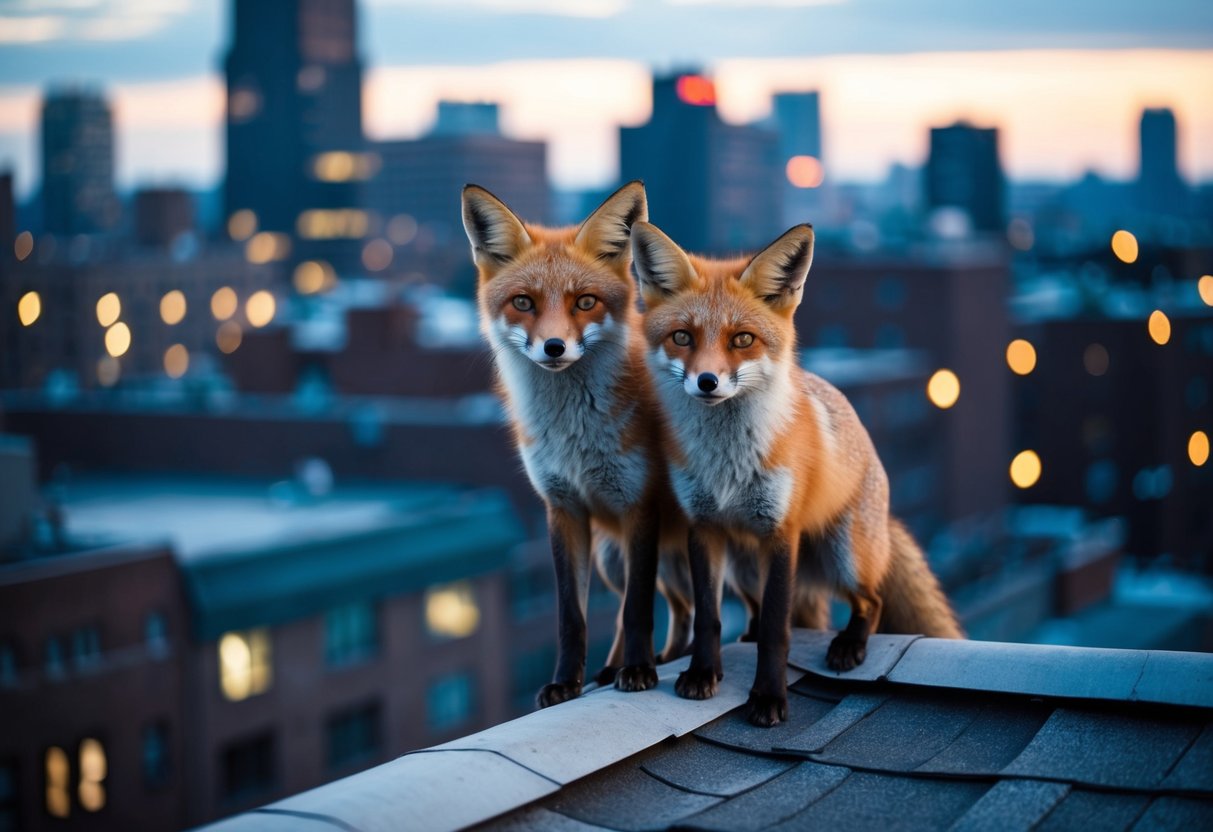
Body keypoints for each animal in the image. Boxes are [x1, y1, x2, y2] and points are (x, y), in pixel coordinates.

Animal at [461, 181, 696, 707]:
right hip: (614, 556)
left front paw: (638, 671)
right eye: (523, 303)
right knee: (684, 609)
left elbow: (636, 610)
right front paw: (566, 683)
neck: (575, 437)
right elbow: (573, 616)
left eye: (585, 302)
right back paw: (634, 664)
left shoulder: (639, 505)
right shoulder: (563, 508)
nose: (554, 347)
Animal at [631, 219, 963, 727]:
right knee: (759, 612)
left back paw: (849, 645)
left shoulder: (781, 531)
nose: (707, 382)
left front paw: (768, 697)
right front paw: (704, 674)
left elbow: (776, 629)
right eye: (682, 338)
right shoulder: (702, 527)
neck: (728, 462)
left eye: (742, 339)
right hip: (744, 567)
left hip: (845, 557)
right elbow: (709, 617)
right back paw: (747, 637)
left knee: (870, 602)